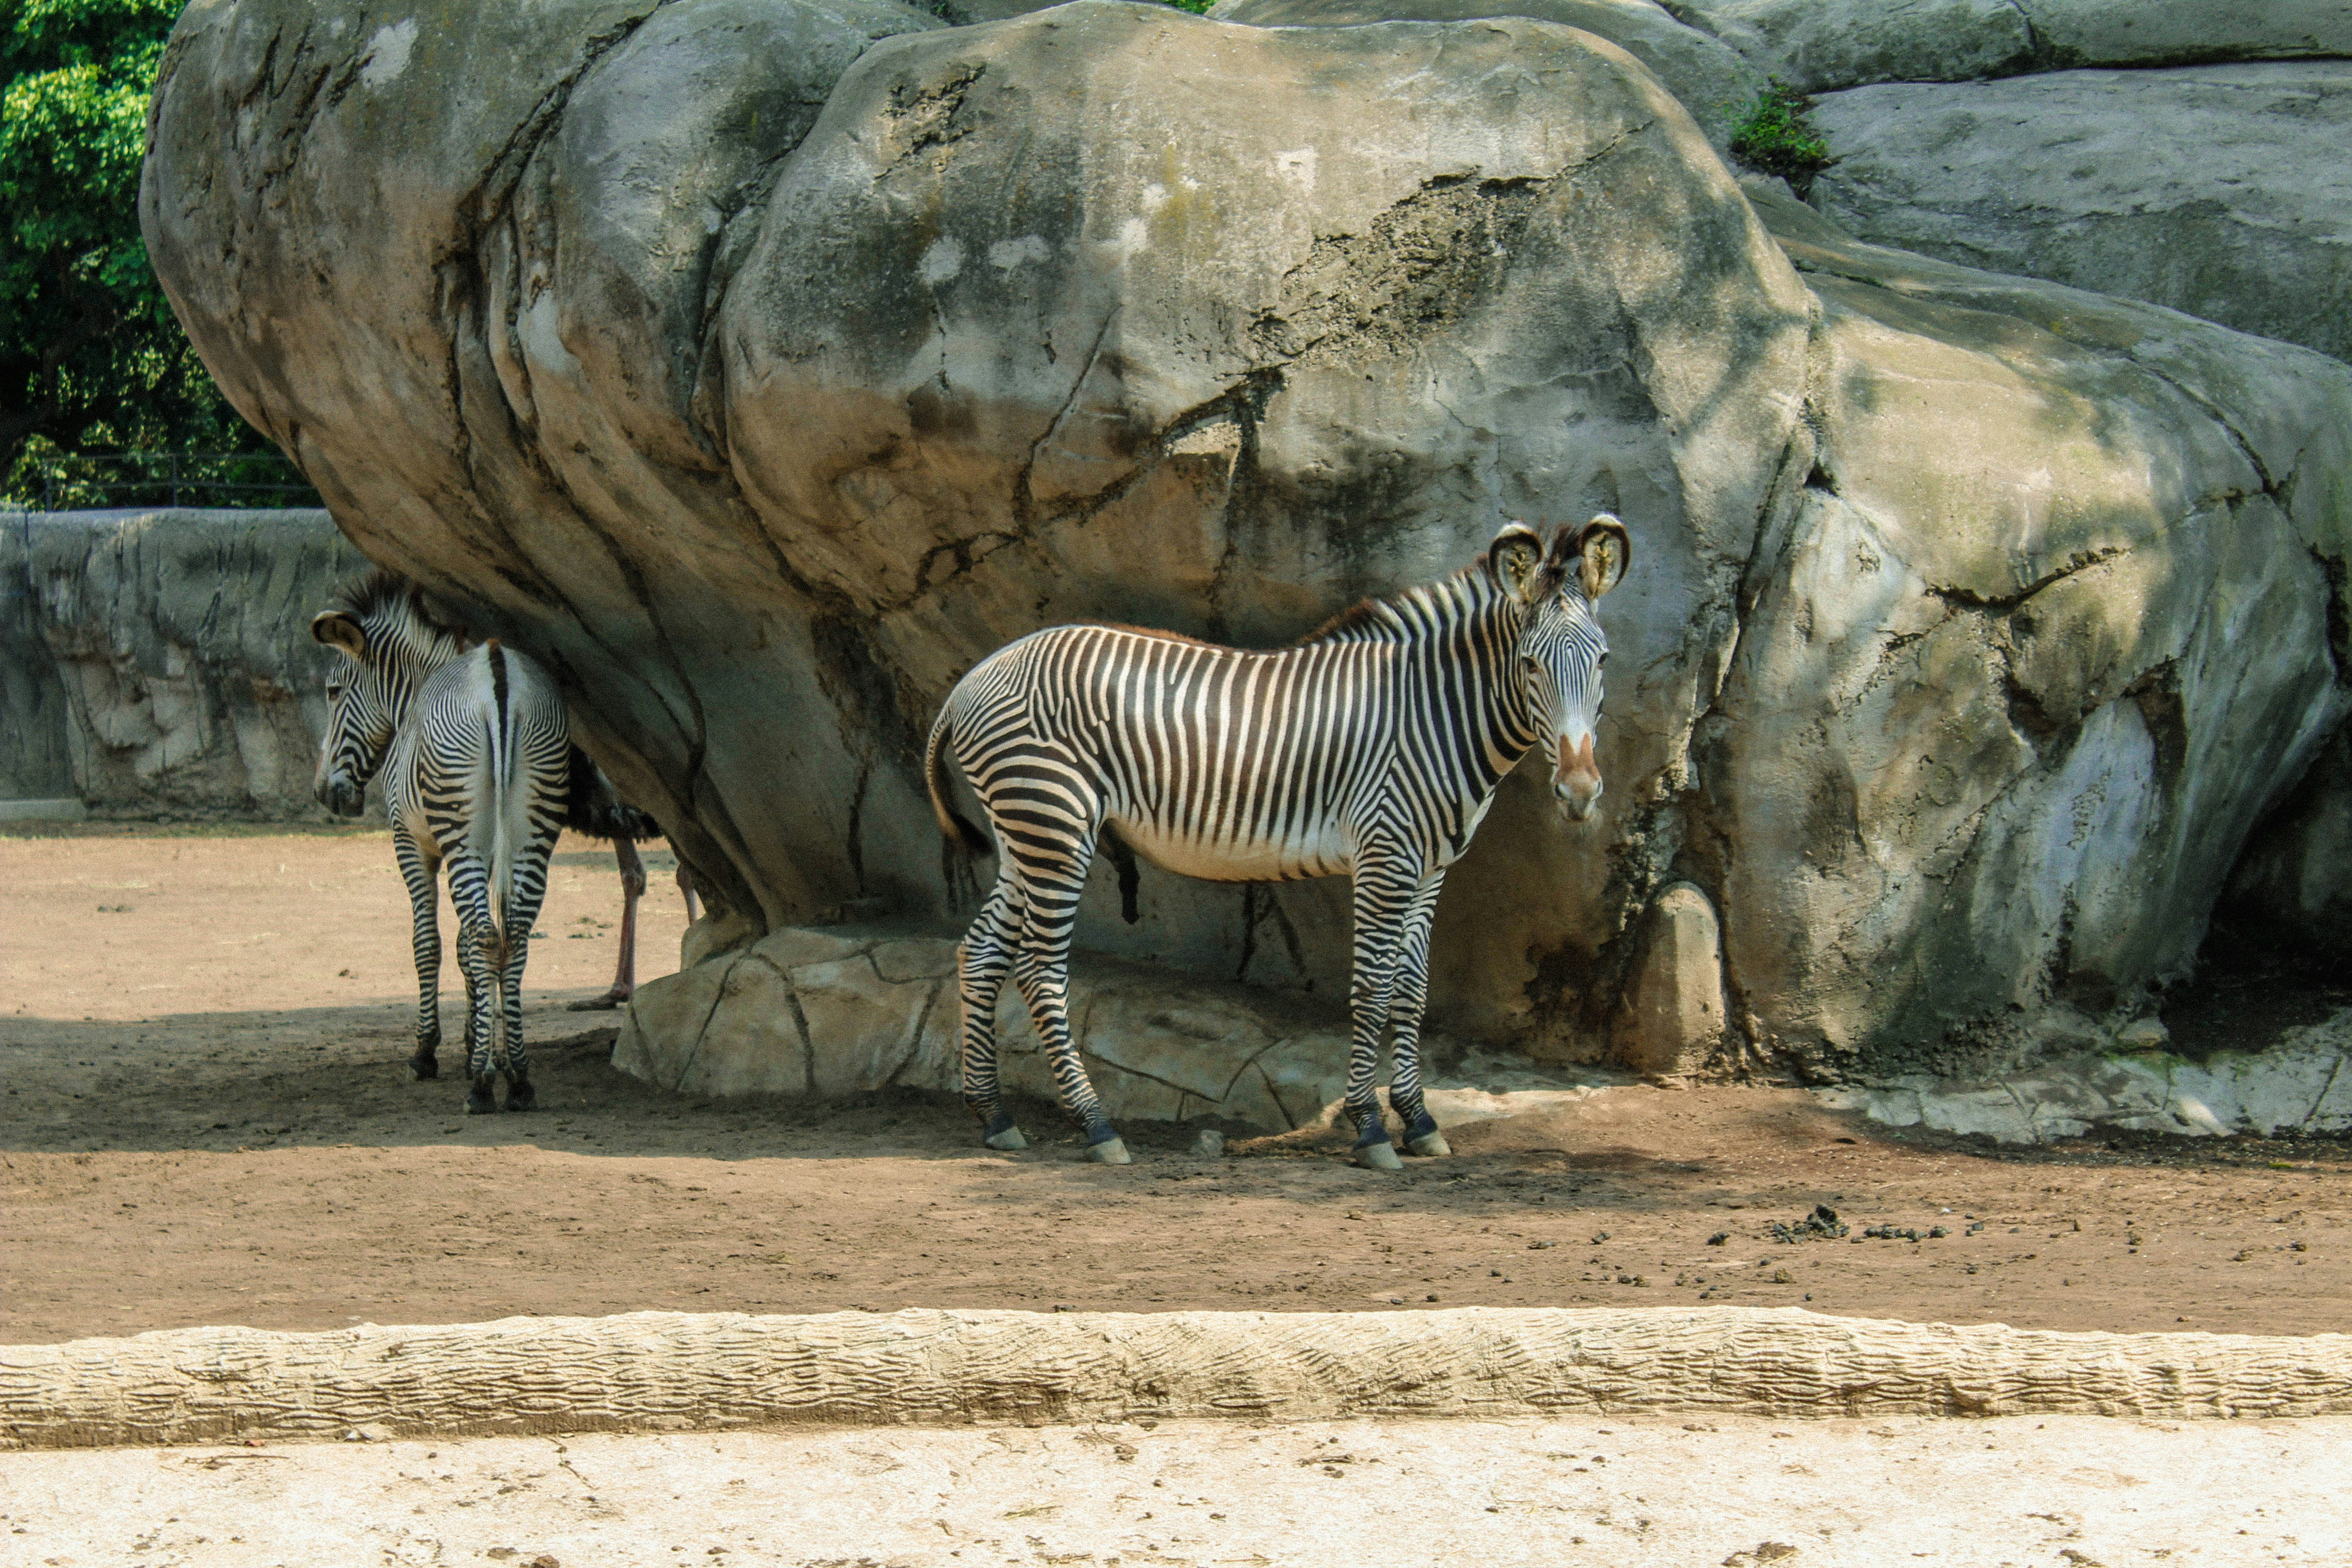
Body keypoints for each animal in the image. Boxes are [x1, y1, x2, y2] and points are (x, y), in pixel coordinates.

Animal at [311, 573, 570, 1114]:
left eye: (333, 690)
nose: (326, 793)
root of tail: (498, 677)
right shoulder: (487, 851)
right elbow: (463, 945)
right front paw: (480, 1042)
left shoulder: (414, 843)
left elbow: (428, 943)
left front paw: (429, 1051)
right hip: (533, 829)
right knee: (511, 936)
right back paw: (518, 1077)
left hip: (458, 832)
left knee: (487, 934)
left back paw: (482, 1087)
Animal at [924, 515, 1630, 1168]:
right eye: (1530, 664)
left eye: (1602, 660)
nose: (1579, 791)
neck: (1432, 714)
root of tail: (971, 681)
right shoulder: (1385, 855)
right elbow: (1373, 987)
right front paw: (1370, 1129)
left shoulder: (1431, 866)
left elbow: (1412, 989)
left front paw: (1420, 1120)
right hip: (1056, 824)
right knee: (1040, 969)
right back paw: (1097, 1126)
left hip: (1025, 833)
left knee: (981, 953)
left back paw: (995, 1116)